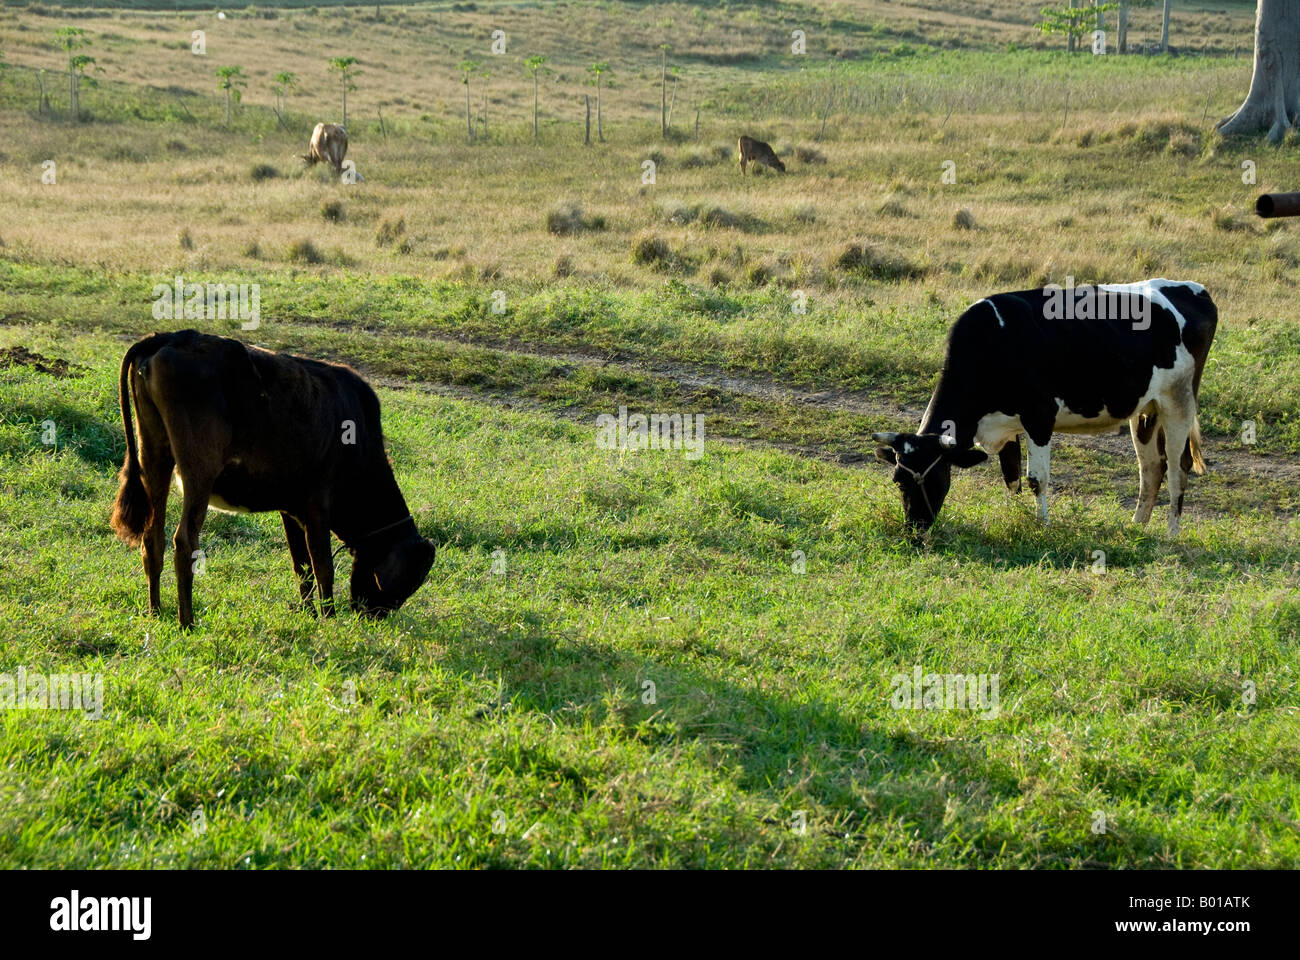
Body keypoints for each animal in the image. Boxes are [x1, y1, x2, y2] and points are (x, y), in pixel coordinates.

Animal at [111, 330, 436, 628]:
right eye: (405, 582)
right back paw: (187, 622)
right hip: (199, 469)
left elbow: (301, 565)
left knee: (153, 537)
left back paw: (155, 612)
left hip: (154, 453)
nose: (373, 617)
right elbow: (322, 566)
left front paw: (309, 613)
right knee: (184, 542)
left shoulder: (291, 509)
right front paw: (328, 618)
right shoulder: (318, 504)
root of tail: (172, 336)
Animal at [871, 279, 1218, 536]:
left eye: (935, 477)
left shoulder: (1039, 417)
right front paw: (1013, 516)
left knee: (1178, 466)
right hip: (1145, 409)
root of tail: (1195, 289)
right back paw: (1136, 528)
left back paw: (1171, 533)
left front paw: (1041, 525)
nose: (916, 530)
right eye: (899, 481)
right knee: (1151, 467)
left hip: (1178, 402)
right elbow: (1010, 478)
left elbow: (1036, 479)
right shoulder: (1003, 426)